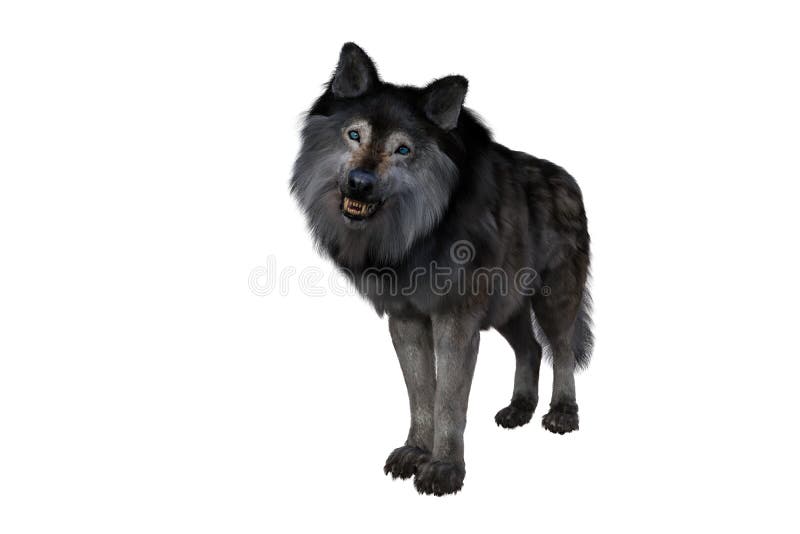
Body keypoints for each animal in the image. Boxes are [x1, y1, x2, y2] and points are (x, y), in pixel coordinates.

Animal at [290, 43, 593, 496]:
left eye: (403, 150)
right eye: (354, 135)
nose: (359, 182)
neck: (417, 232)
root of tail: (569, 180)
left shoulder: (456, 320)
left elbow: (448, 398)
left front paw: (445, 469)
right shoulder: (406, 318)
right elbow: (421, 393)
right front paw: (416, 451)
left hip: (553, 299)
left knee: (562, 349)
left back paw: (562, 413)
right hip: (507, 308)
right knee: (530, 348)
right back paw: (519, 409)